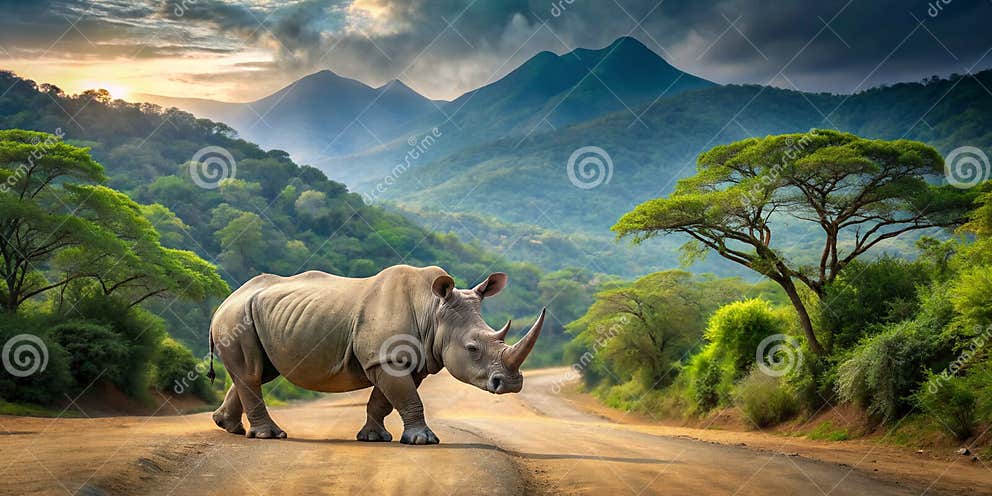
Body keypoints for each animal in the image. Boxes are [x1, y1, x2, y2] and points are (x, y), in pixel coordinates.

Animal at [207, 265, 545, 444]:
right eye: (472, 349)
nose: (511, 384)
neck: (432, 311)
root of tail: (226, 299)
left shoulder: (405, 361)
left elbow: (383, 401)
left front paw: (373, 437)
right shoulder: (387, 358)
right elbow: (409, 400)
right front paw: (423, 441)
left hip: (254, 316)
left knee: (258, 372)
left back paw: (229, 427)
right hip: (236, 318)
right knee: (251, 373)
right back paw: (270, 436)